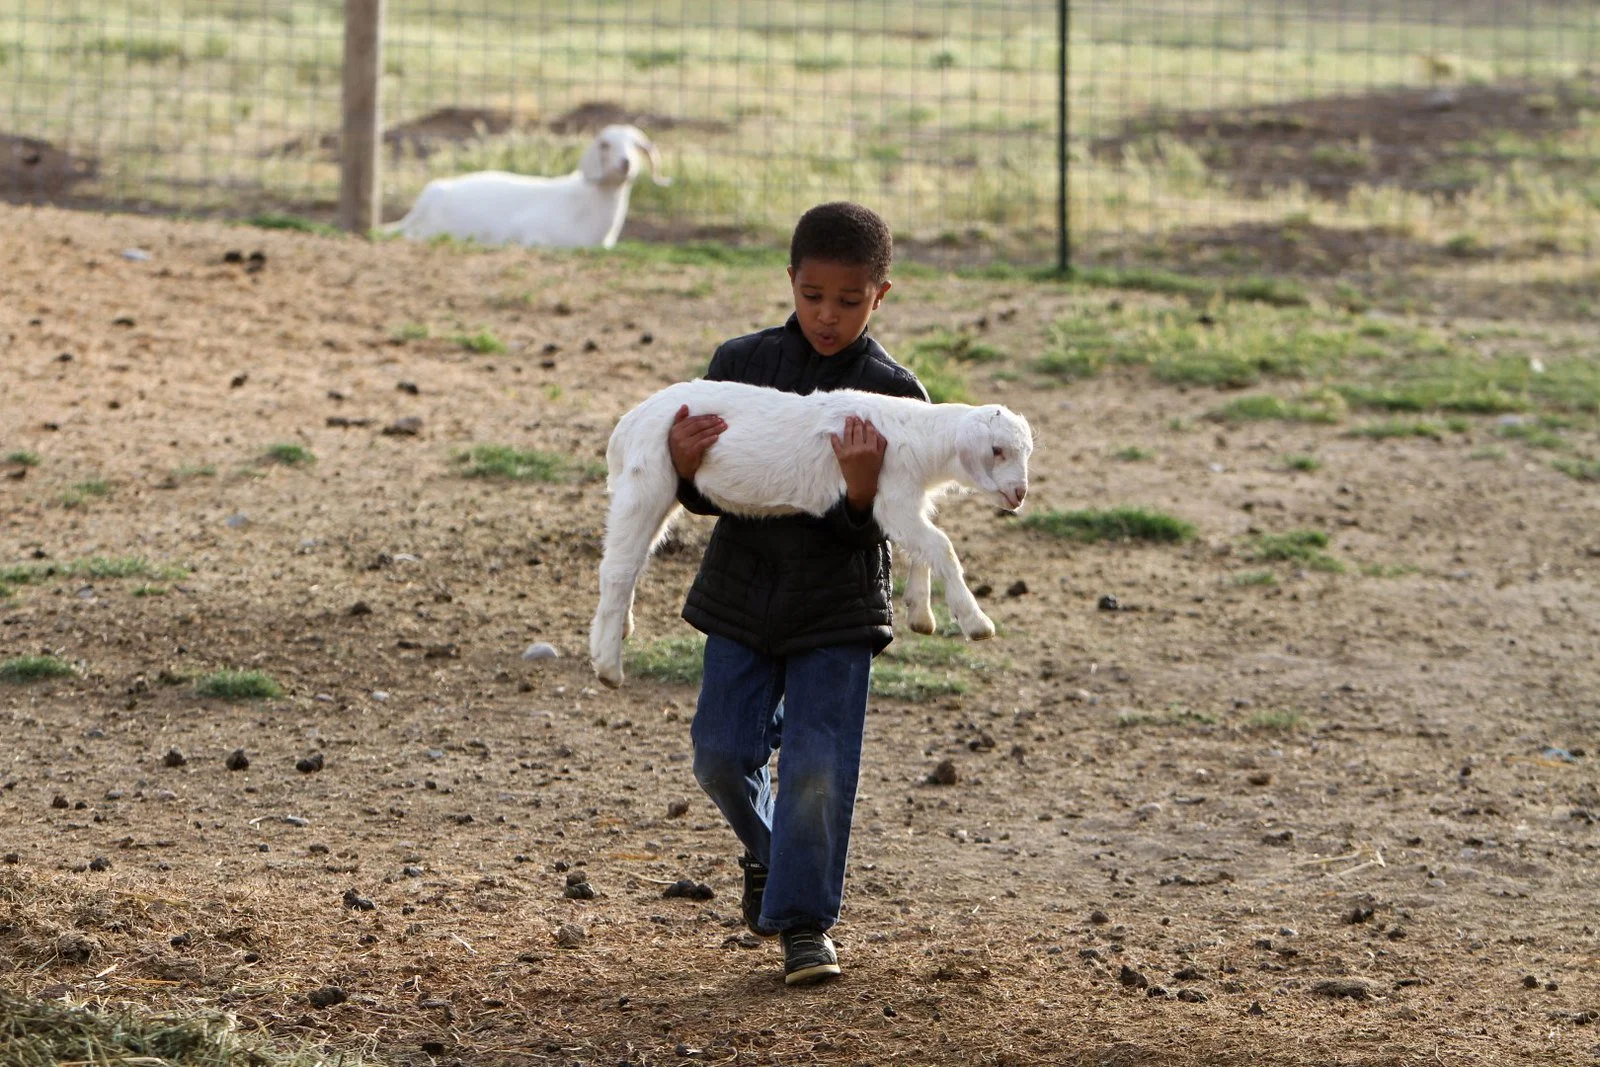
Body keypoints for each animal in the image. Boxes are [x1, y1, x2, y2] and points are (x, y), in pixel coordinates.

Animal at [588, 380, 1035, 688]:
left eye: (1026, 452)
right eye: (997, 451)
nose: (1019, 494)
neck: (923, 440)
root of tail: (626, 427)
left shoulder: (904, 502)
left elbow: (921, 549)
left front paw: (920, 612)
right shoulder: (893, 495)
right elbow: (942, 547)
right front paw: (975, 621)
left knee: (633, 561)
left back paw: (620, 628)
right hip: (647, 480)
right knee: (617, 569)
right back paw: (608, 664)